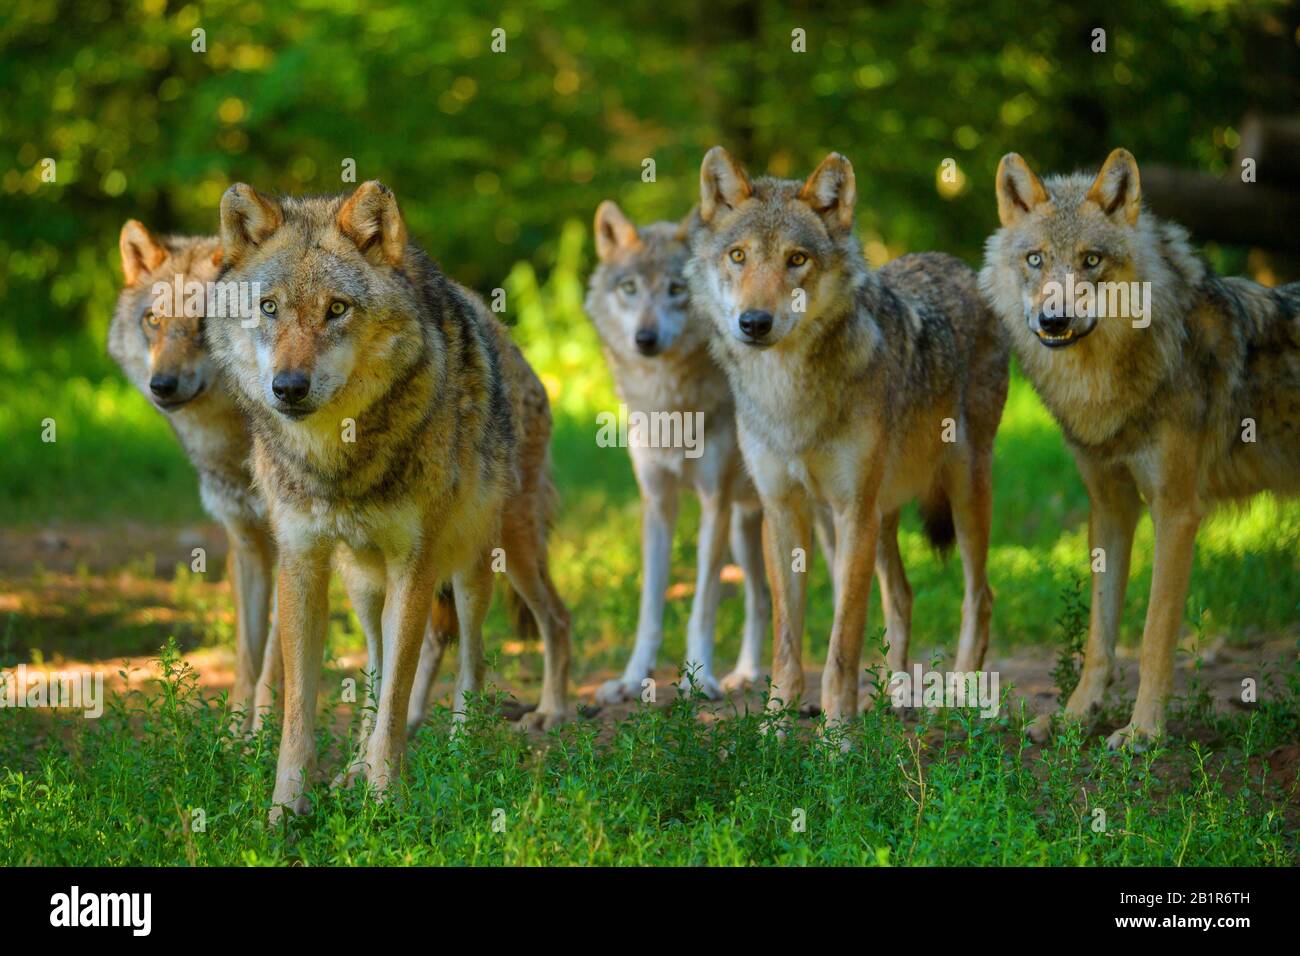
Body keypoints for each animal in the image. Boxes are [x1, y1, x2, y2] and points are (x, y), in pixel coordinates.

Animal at [206, 180, 571, 816]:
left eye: (337, 309)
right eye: (269, 308)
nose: (288, 388)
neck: (340, 460)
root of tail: (519, 354)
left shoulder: (414, 562)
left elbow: (397, 700)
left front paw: (384, 803)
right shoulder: (301, 562)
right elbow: (304, 709)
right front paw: (286, 811)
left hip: (491, 561)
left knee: (518, 636)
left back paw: (500, 736)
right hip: (363, 584)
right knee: (384, 665)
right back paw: (352, 770)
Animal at [585, 201, 773, 702]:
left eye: (675, 289)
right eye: (629, 288)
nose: (645, 339)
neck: (667, 403)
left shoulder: (714, 503)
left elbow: (702, 607)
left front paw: (700, 677)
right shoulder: (658, 504)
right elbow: (650, 607)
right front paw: (632, 680)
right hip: (746, 528)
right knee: (763, 599)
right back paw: (746, 674)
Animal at [687, 147, 1009, 730]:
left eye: (797, 259)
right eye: (739, 256)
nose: (754, 322)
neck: (788, 396)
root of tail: (955, 264)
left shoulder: (853, 510)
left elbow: (842, 643)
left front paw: (837, 736)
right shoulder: (783, 510)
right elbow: (789, 641)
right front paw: (775, 726)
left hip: (962, 493)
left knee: (980, 595)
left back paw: (960, 699)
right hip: (871, 519)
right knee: (902, 595)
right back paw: (892, 699)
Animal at [982, 147, 1300, 748]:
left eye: (1091, 260)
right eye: (1036, 259)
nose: (1053, 319)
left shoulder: (1176, 512)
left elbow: (1153, 636)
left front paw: (1144, 731)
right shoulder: (1110, 508)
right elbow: (1098, 638)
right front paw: (1075, 717)